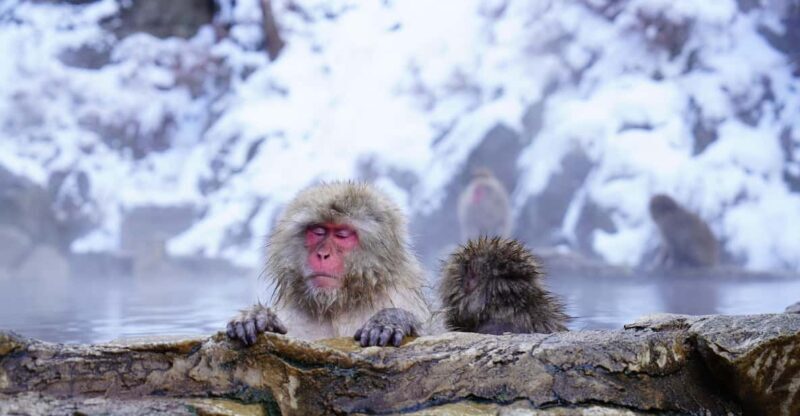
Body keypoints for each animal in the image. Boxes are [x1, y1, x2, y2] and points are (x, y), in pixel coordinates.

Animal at [226, 182, 430, 347]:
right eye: (318, 231)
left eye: (342, 234)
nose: (323, 254)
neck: (337, 305)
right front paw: (258, 316)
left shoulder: (401, 298)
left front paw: (391, 320)